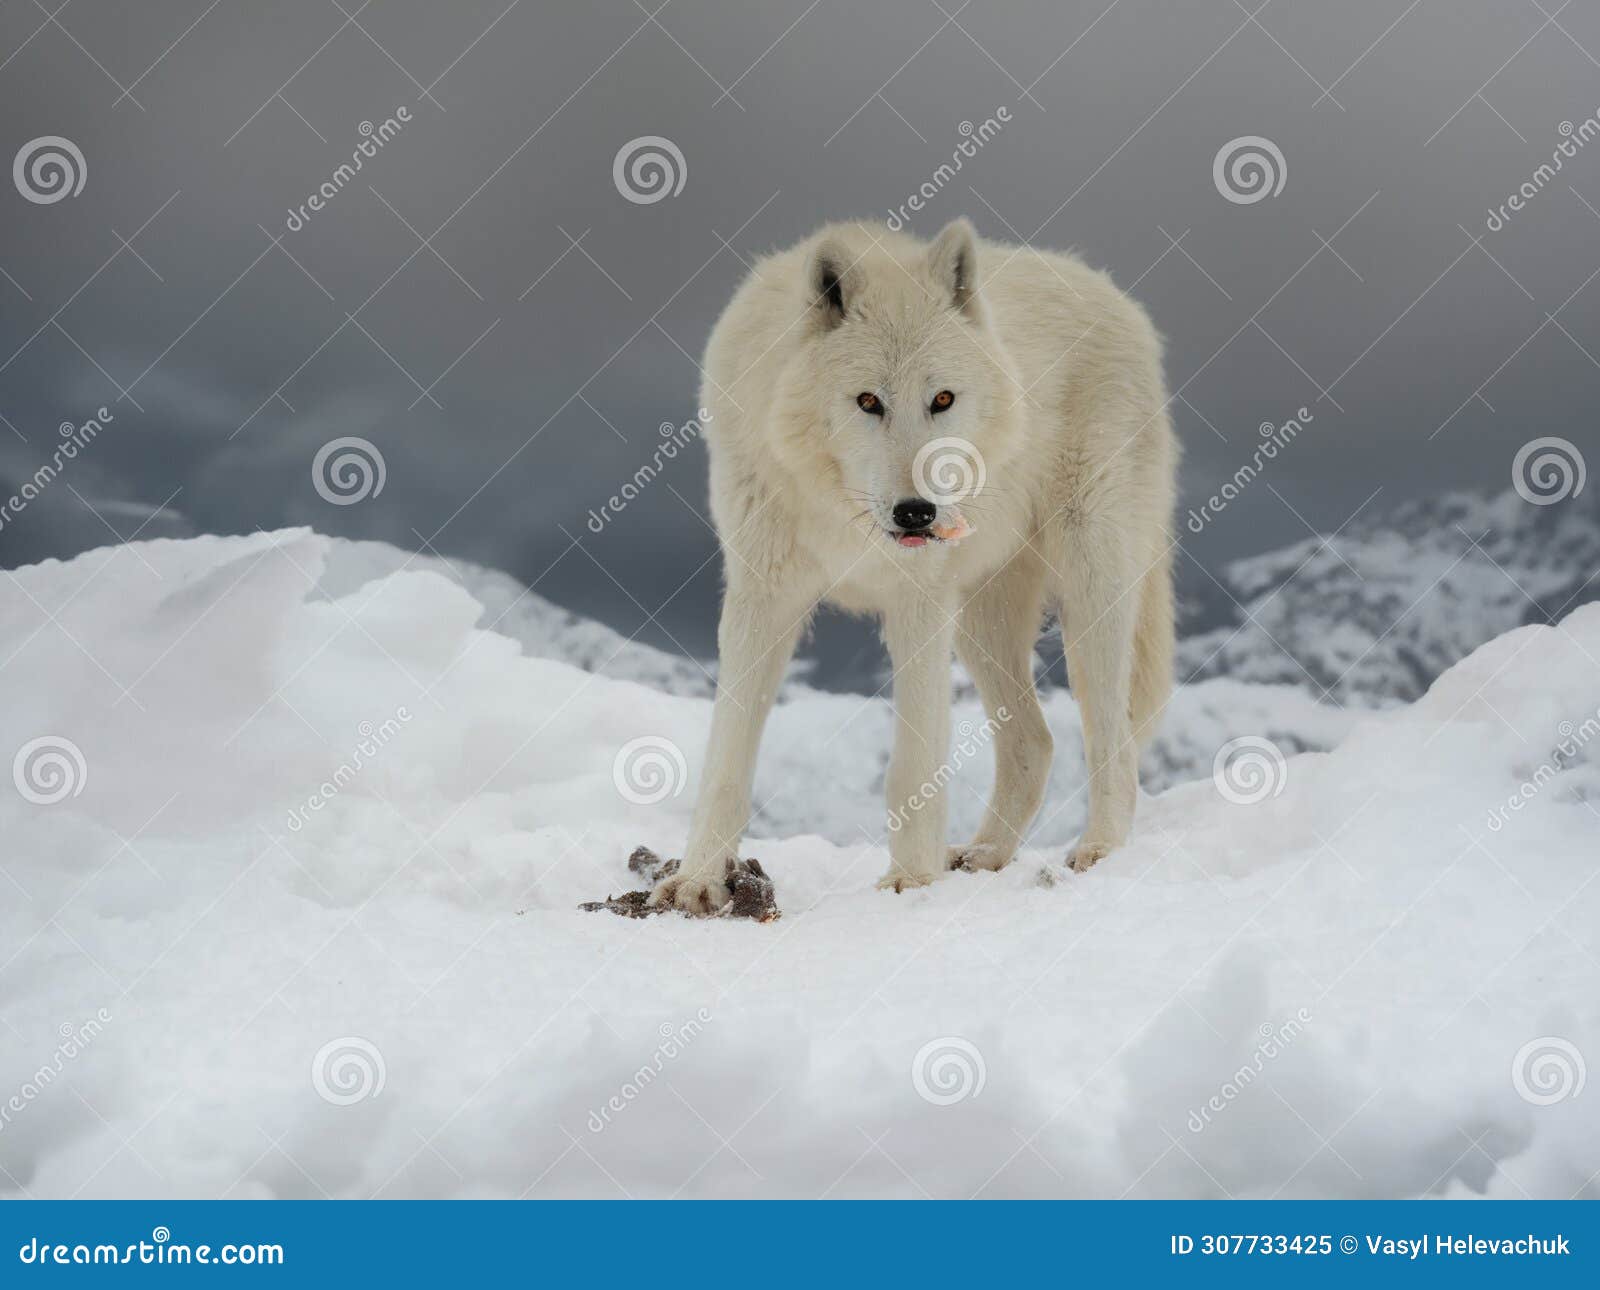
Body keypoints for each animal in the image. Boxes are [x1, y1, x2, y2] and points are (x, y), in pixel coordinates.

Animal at [652, 218, 1177, 913]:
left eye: (943, 398)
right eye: (868, 401)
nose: (917, 513)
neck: (844, 508)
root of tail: (1124, 304)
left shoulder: (917, 601)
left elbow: (912, 765)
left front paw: (911, 883)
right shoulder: (760, 597)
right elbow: (726, 760)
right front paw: (698, 881)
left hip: (1089, 589)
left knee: (1112, 738)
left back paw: (1100, 850)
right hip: (981, 620)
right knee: (1034, 741)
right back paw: (983, 856)